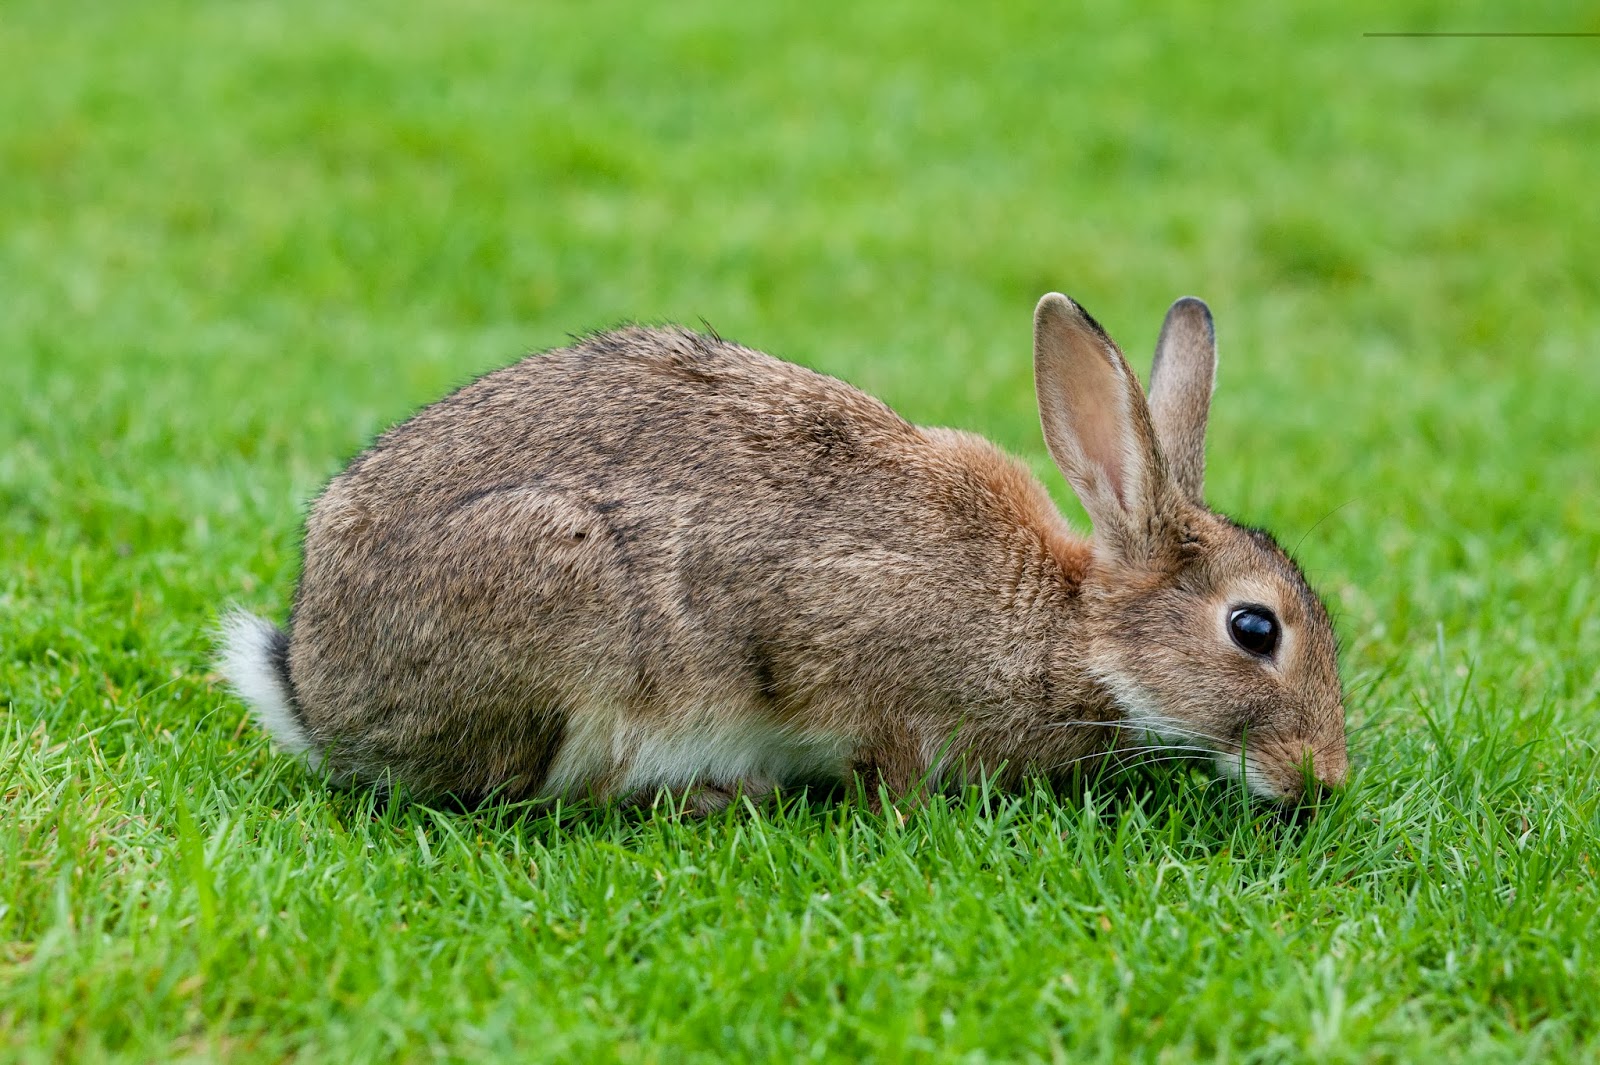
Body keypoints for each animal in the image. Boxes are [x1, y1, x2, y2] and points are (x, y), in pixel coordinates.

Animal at [218, 293, 1347, 812]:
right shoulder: (849, 650)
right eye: (1254, 628)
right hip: (563, 617)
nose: (1325, 777)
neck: (1073, 629)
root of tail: (313, 688)